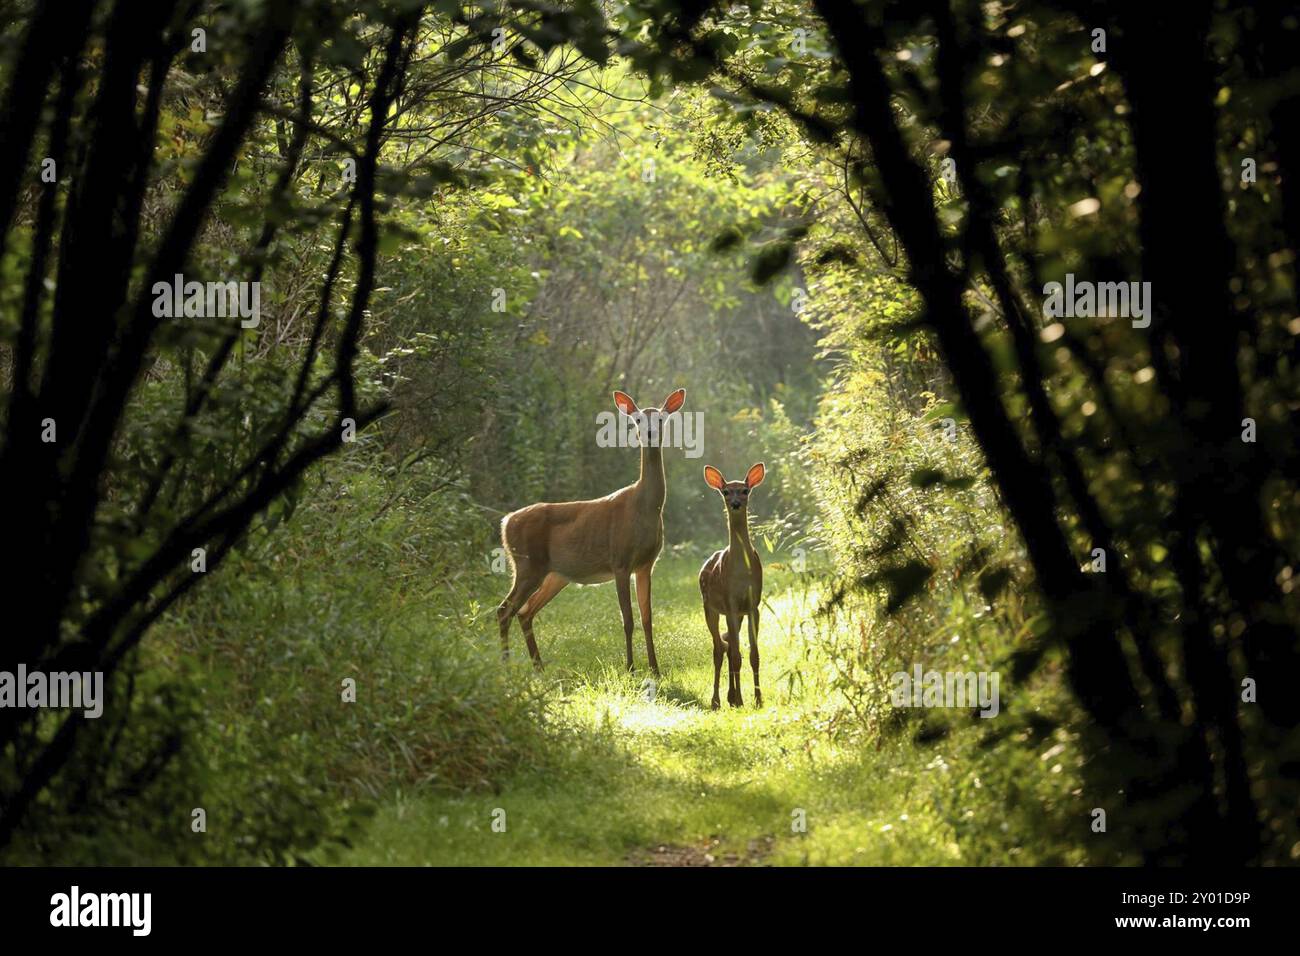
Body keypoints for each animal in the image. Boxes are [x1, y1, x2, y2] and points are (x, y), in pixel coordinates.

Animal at [496, 388, 687, 675]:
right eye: (637, 419)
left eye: (662, 419)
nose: (650, 433)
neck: (645, 508)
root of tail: (506, 522)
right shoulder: (620, 560)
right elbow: (627, 620)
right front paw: (630, 668)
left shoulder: (646, 564)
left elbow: (647, 618)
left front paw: (655, 669)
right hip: (528, 565)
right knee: (504, 609)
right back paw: (507, 668)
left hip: (555, 574)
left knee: (524, 611)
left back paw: (538, 667)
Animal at [699, 462, 766, 709]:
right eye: (726, 491)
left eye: (745, 490)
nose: (736, 503)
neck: (741, 572)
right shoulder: (730, 603)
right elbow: (737, 655)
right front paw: (741, 699)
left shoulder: (752, 605)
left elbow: (753, 655)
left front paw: (758, 699)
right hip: (709, 607)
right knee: (719, 648)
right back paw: (718, 700)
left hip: (736, 614)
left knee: (727, 645)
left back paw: (731, 697)